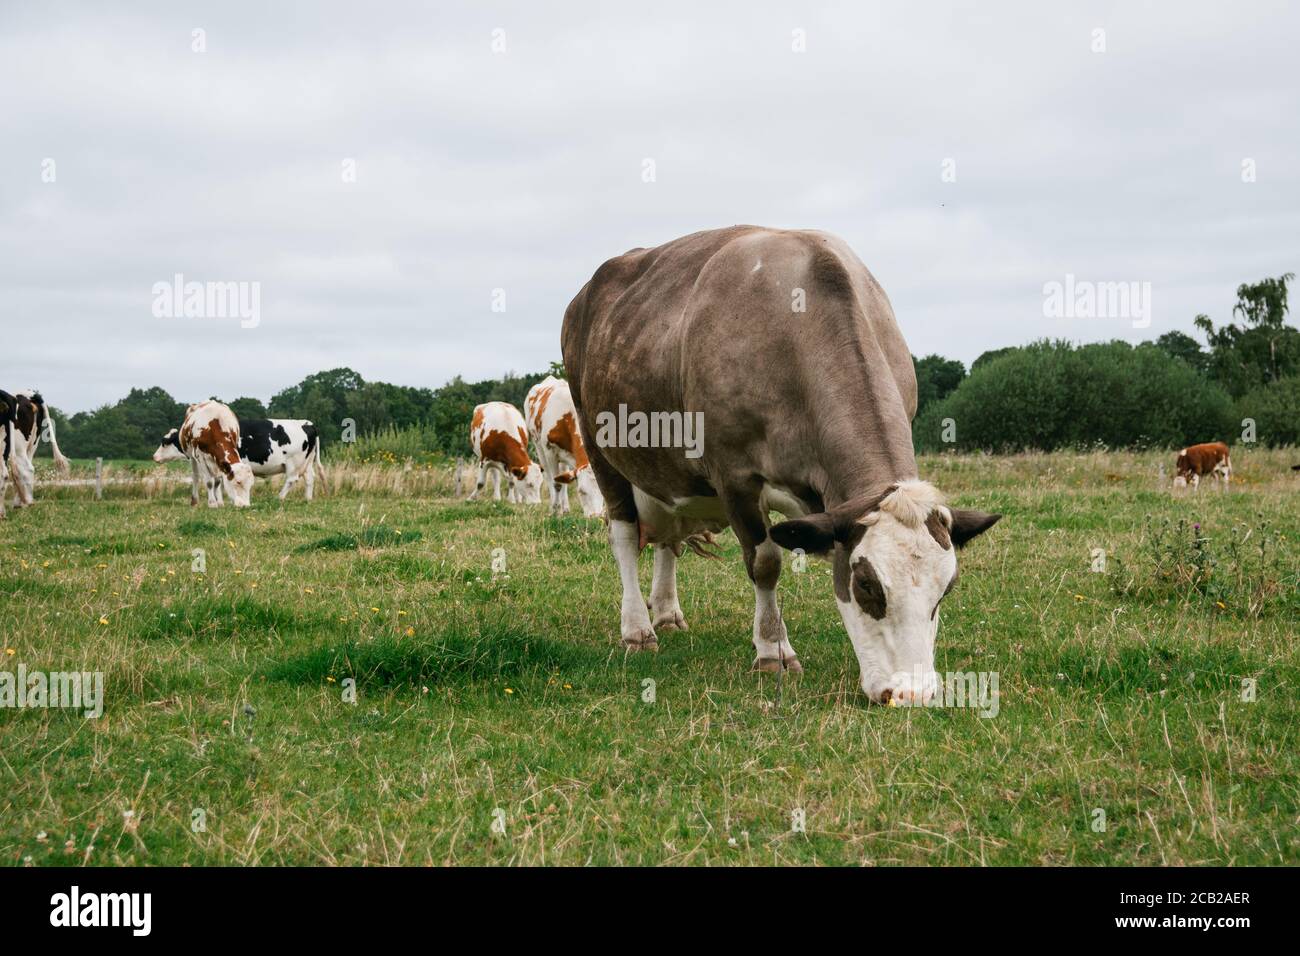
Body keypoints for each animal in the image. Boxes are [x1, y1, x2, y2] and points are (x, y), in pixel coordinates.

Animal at [155, 417, 324, 503]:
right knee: (310, 478)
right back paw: (307, 499)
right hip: (307, 463)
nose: (154, 456)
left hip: (294, 462)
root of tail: (306, 423)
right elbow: (218, 482)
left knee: (291, 480)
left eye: (164, 442)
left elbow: (216, 482)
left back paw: (279, 497)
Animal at [525, 375, 606, 517]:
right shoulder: (550, 452)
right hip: (539, 447)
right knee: (549, 477)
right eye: (581, 491)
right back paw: (554, 507)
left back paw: (566, 508)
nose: (596, 517)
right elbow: (556, 483)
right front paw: (556, 511)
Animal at [562, 226, 1001, 705]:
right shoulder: (734, 476)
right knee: (624, 537)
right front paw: (773, 650)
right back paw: (638, 628)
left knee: (668, 539)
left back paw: (666, 613)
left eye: (946, 590)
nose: (913, 693)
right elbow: (765, 562)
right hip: (597, 443)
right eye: (866, 584)